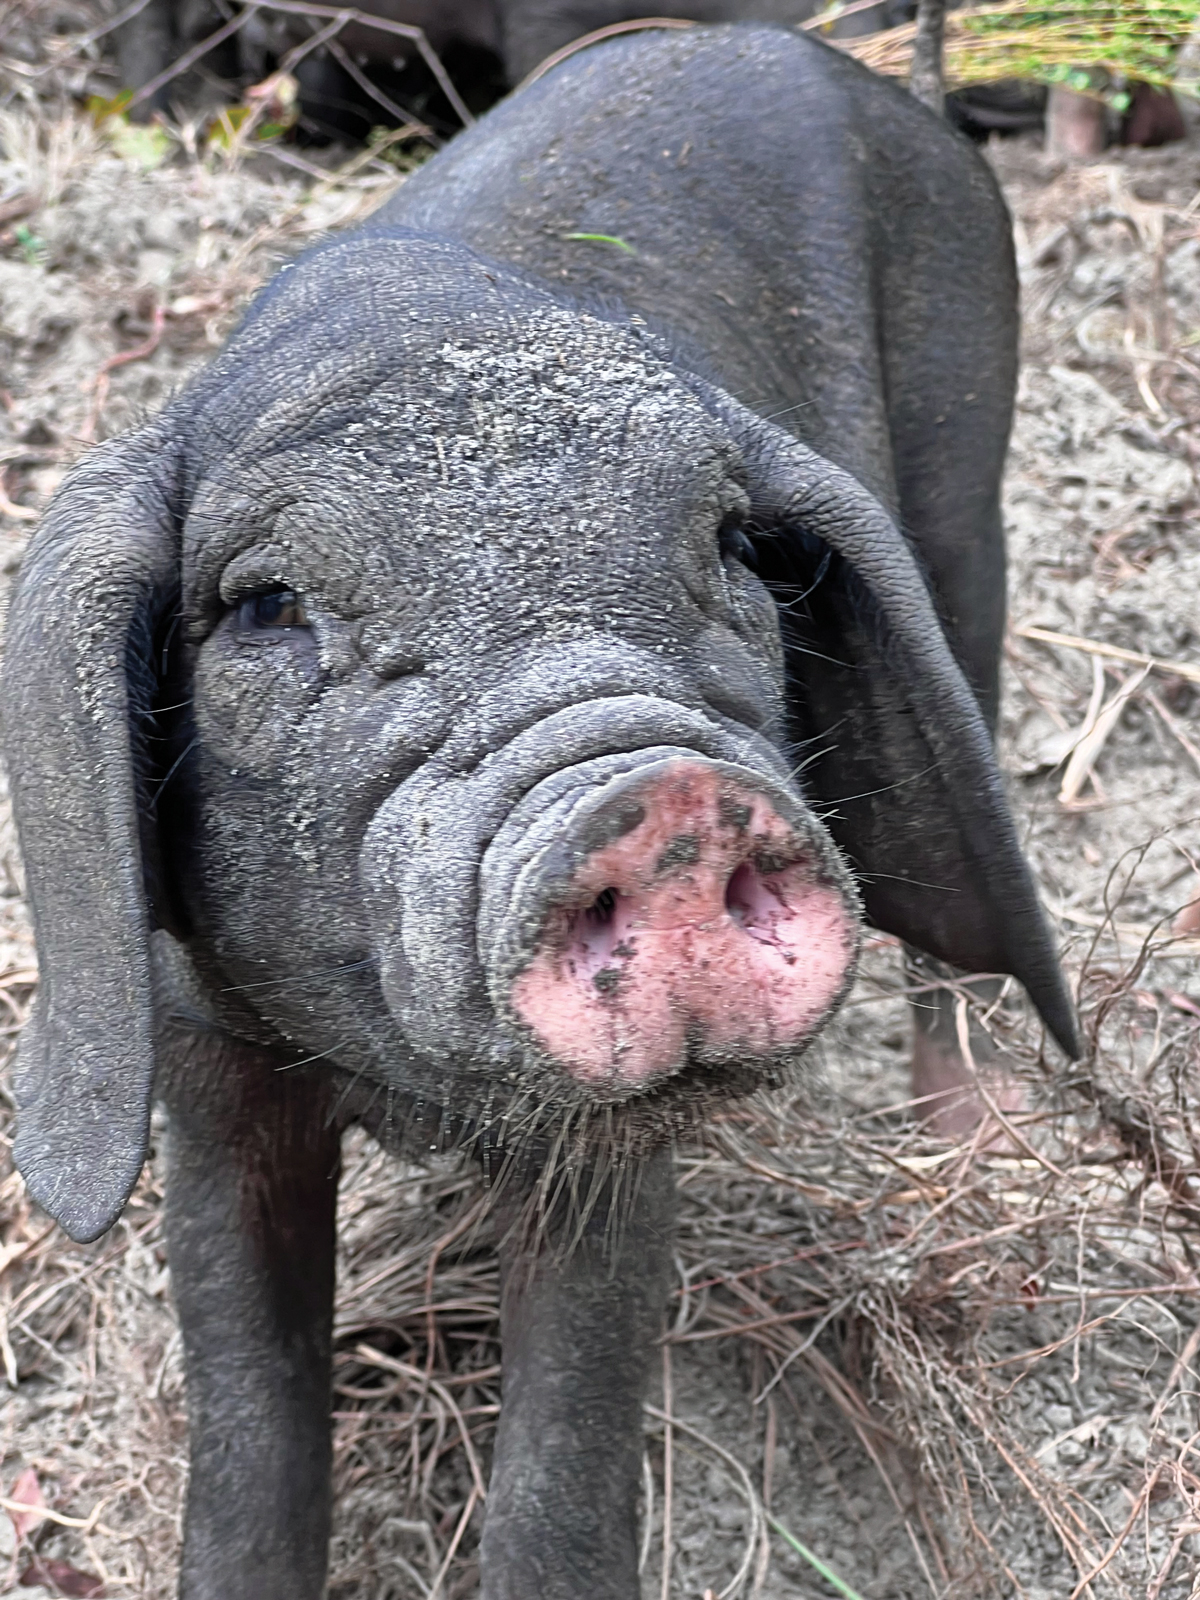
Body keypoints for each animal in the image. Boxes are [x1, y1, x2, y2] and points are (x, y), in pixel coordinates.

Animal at [4, 24, 1078, 1599]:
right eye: (267, 606)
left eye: (730, 545)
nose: (664, 793)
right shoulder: (205, 1065)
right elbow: (251, 1418)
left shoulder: (617, 1149)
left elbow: (568, 1460)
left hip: (967, 474)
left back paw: (969, 1135)